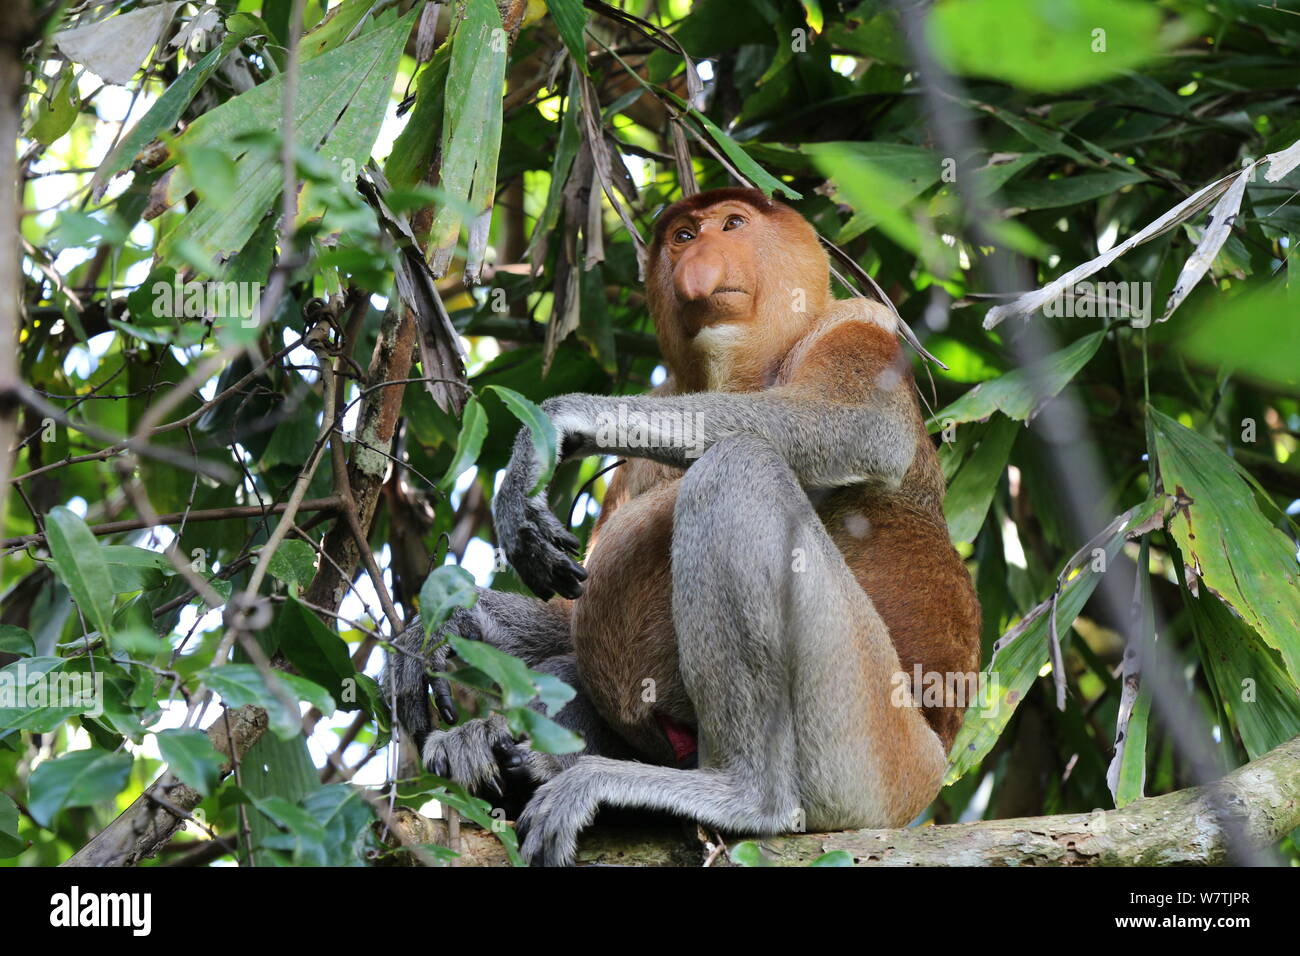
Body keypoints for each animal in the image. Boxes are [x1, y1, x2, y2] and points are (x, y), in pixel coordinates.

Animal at [388, 186, 981, 866]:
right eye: (684, 236)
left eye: (733, 224)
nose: (699, 262)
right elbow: (573, 607)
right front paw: (437, 629)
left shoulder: (858, 324)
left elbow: (852, 422)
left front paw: (558, 424)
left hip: (871, 745)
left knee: (738, 464)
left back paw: (738, 796)